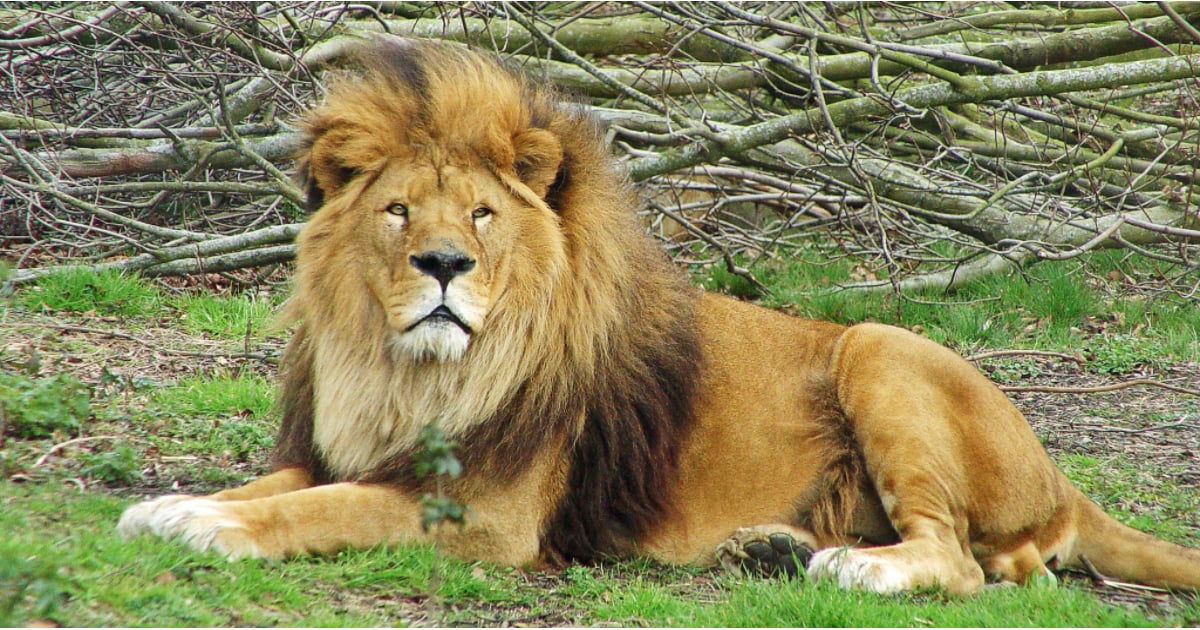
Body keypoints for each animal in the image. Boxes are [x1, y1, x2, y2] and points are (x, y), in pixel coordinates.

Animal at [118, 38, 1200, 596]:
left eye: (481, 214)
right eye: (397, 211)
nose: (443, 265)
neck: (405, 369)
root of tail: (1062, 478)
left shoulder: (491, 512)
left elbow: (322, 509)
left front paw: (208, 527)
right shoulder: (342, 446)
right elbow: (279, 485)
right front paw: (180, 504)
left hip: (879, 348)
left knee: (966, 565)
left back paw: (849, 567)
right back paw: (769, 549)